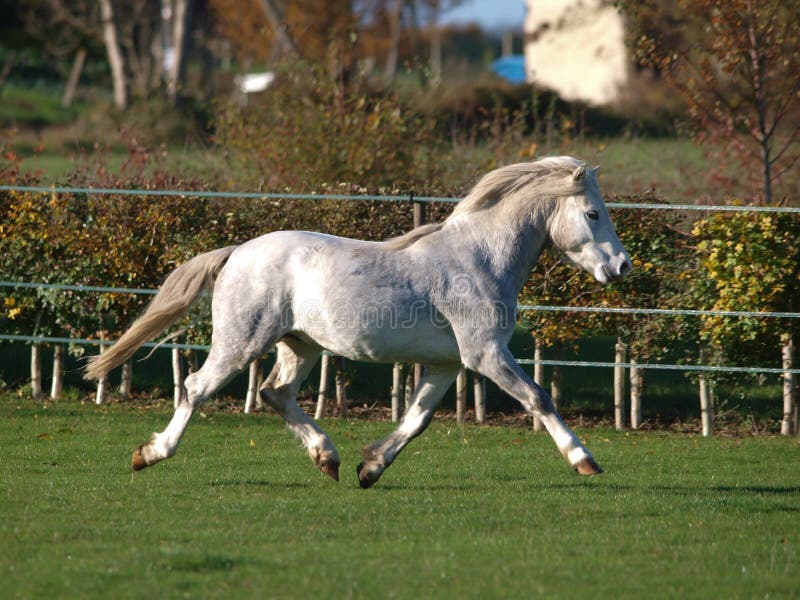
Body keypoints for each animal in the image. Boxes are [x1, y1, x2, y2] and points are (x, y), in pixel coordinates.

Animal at [85, 156, 632, 488]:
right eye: (593, 214)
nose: (622, 266)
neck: (479, 258)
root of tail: (238, 251)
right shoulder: (486, 354)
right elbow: (539, 398)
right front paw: (585, 460)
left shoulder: (450, 364)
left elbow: (416, 419)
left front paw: (370, 468)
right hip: (243, 340)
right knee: (198, 387)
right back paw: (151, 453)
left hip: (300, 344)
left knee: (275, 393)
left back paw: (327, 458)